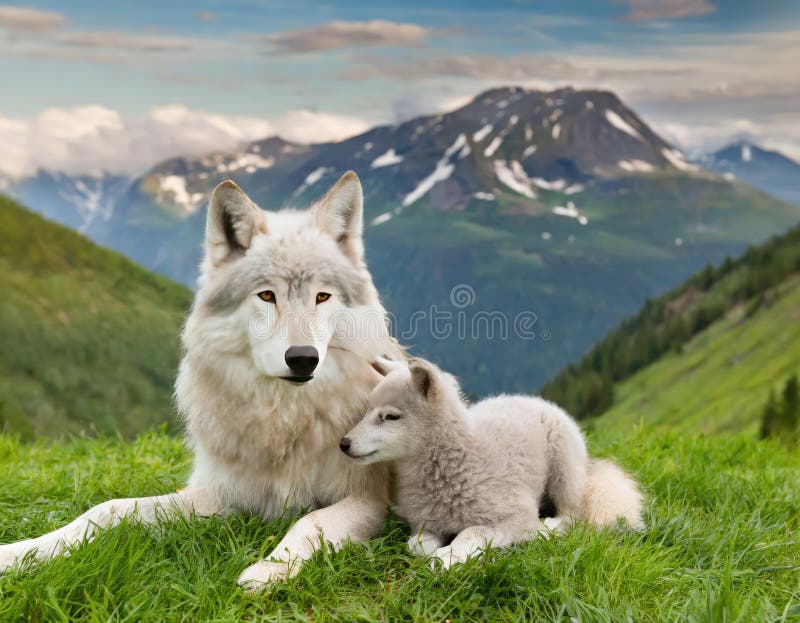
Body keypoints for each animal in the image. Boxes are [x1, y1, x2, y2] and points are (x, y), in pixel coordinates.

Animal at [0, 171, 403, 591]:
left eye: (322, 296)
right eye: (266, 295)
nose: (303, 357)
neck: (284, 419)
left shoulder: (367, 499)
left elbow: (310, 521)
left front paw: (269, 569)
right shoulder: (222, 492)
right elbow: (108, 510)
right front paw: (19, 554)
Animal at [341, 358, 644, 569]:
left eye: (391, 417)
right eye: (367, 410)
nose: (344, 443)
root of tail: (534, 400)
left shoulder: (514, 514)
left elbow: (472, 532)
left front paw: (448, 557)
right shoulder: (427, 526)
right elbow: (415, 545)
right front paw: (438, 552)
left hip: (564, 469)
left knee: (571, 515)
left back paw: (545, 529)